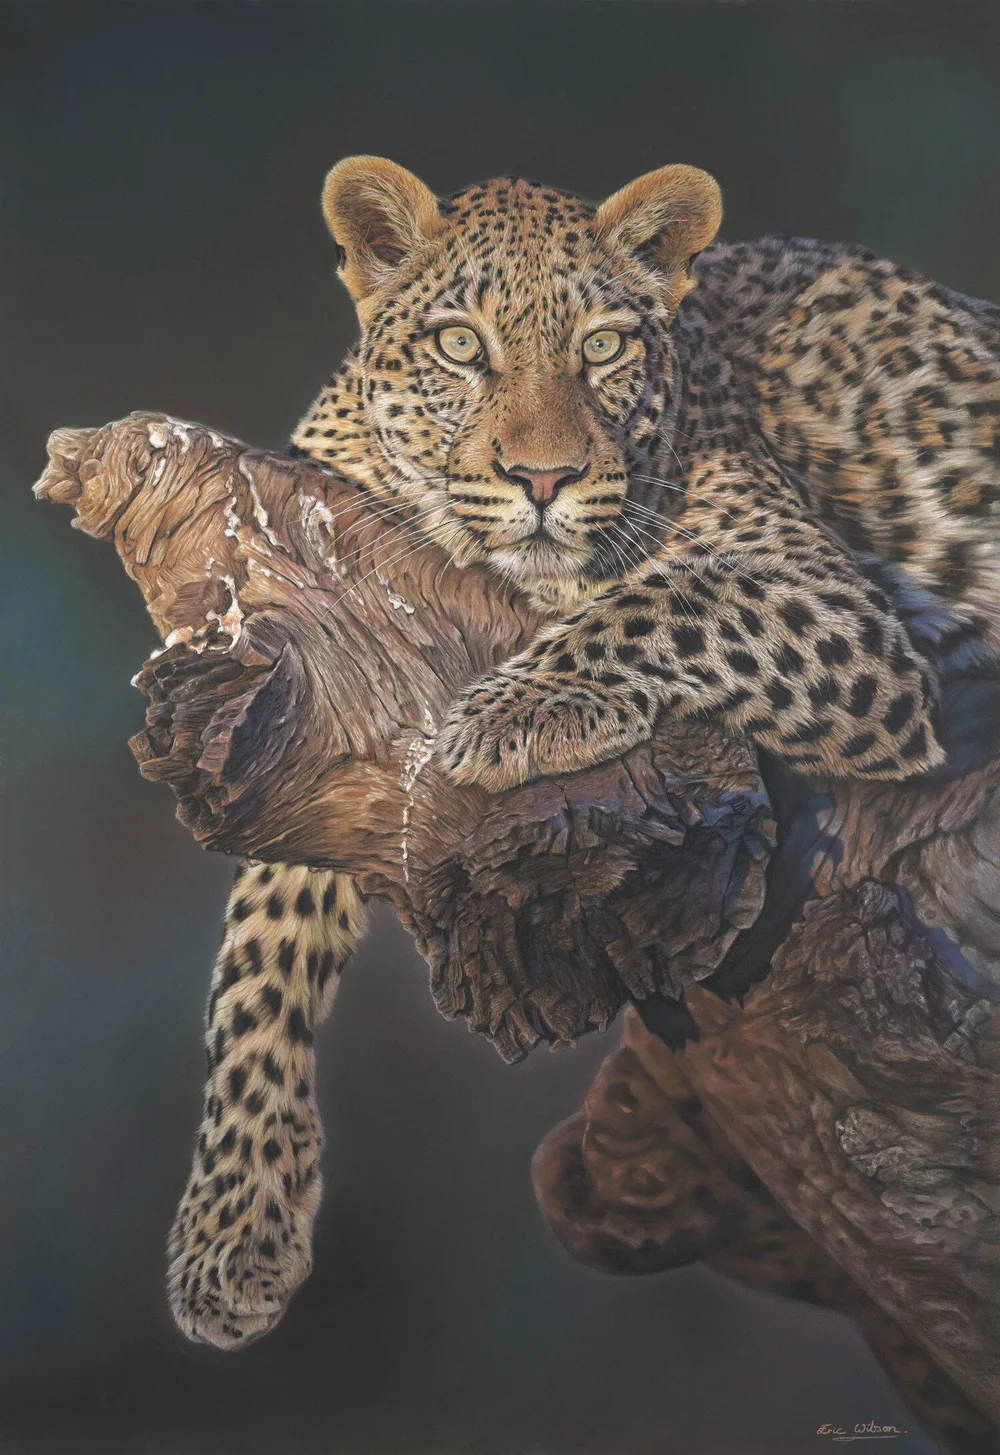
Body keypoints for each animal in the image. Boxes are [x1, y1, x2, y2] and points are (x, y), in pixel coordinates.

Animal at [167, 154, 1000, 1349]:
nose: (543, 479)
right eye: (460, 346)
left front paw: (507, 711)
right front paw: (235, 1227)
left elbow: (664, 601)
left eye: (602, 346)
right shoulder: (307, 697)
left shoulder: (830, 605)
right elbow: (259, 948)